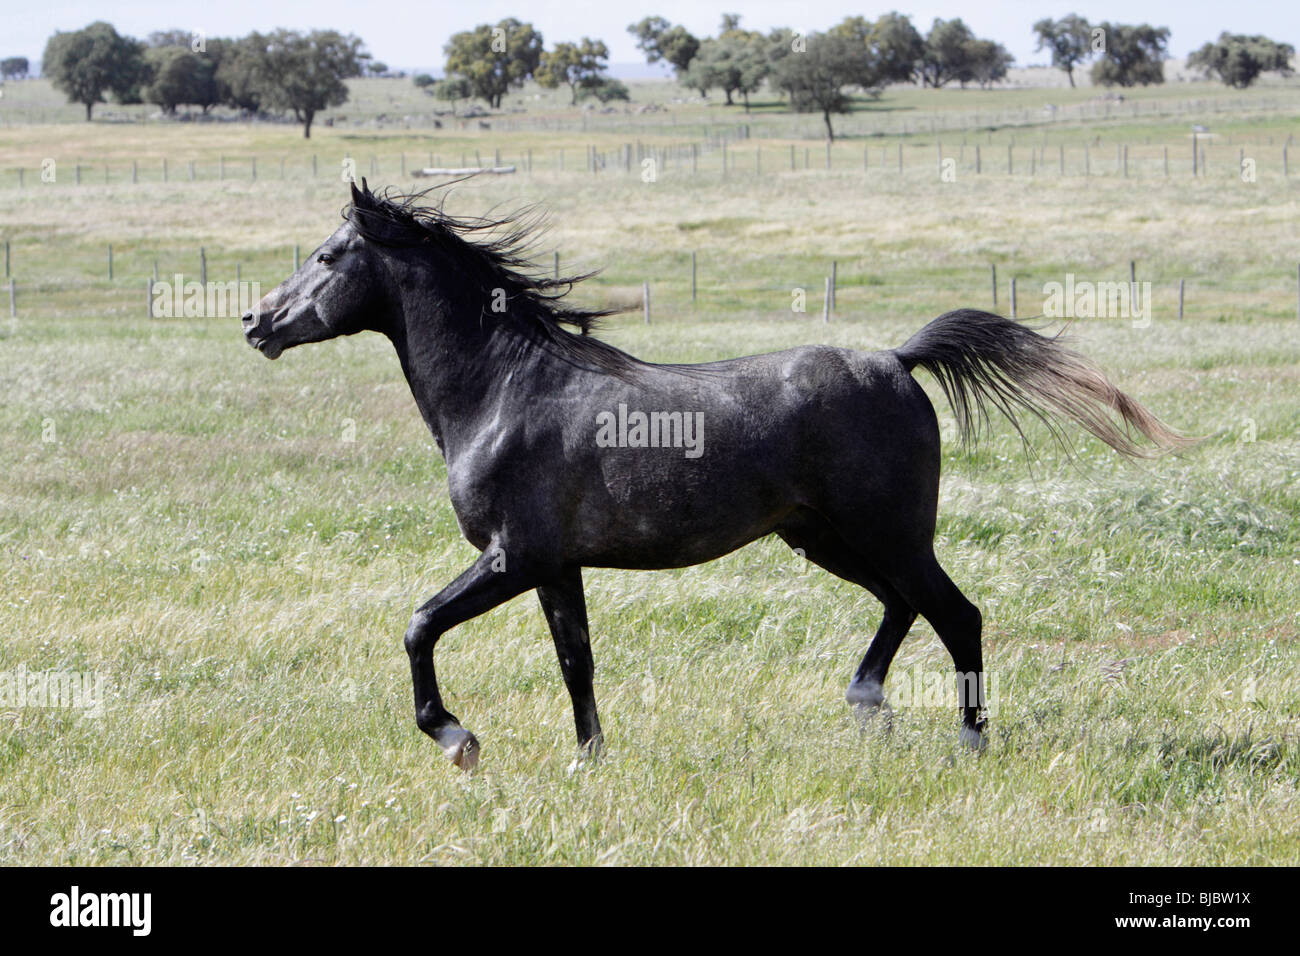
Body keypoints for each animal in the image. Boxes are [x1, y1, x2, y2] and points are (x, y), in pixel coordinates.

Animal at [242, 179, 1187, 770]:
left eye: (328, 256)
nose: (257, 321)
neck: (504, 389)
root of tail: (895, 358)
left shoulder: (514, 557)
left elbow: (419, 626)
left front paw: (457, 740)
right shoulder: (556, 568)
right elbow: (576, 661)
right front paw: (590, 759)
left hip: (886, 534)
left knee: (956, 613)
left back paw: (969, 741)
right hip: (824, 539)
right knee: (905, 606)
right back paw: (866, 701)